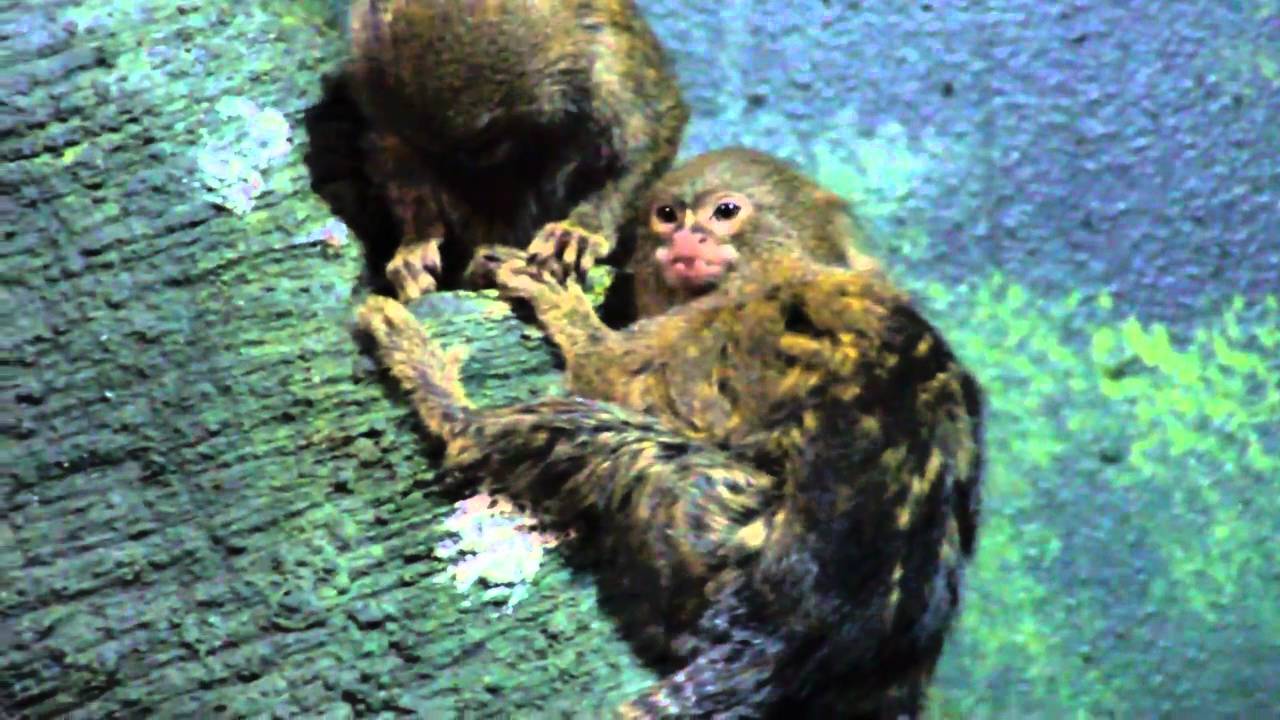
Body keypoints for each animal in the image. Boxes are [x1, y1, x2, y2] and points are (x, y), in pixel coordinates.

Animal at [344, 0, 689, 300]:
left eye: (487, 147)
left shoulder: (607, 58)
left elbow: (648, 136)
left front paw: (580, 229)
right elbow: (392, 158)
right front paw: (417, 240)